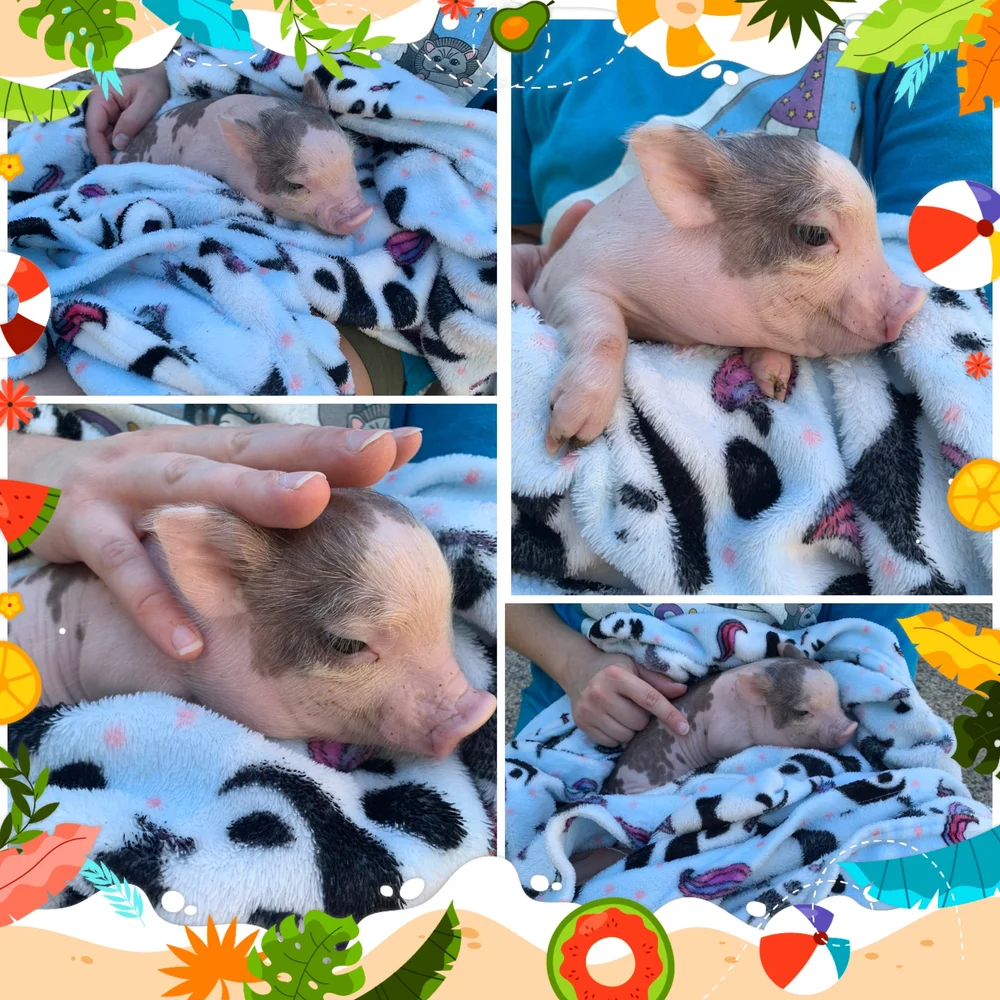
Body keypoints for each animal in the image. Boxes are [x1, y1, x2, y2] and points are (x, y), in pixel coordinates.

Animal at [530, 124, 928, 453]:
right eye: (814, 234)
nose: (914, 301)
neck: (672, 325)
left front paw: (775, 385)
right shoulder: (568, 282)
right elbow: (607, 334)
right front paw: (566, 439)